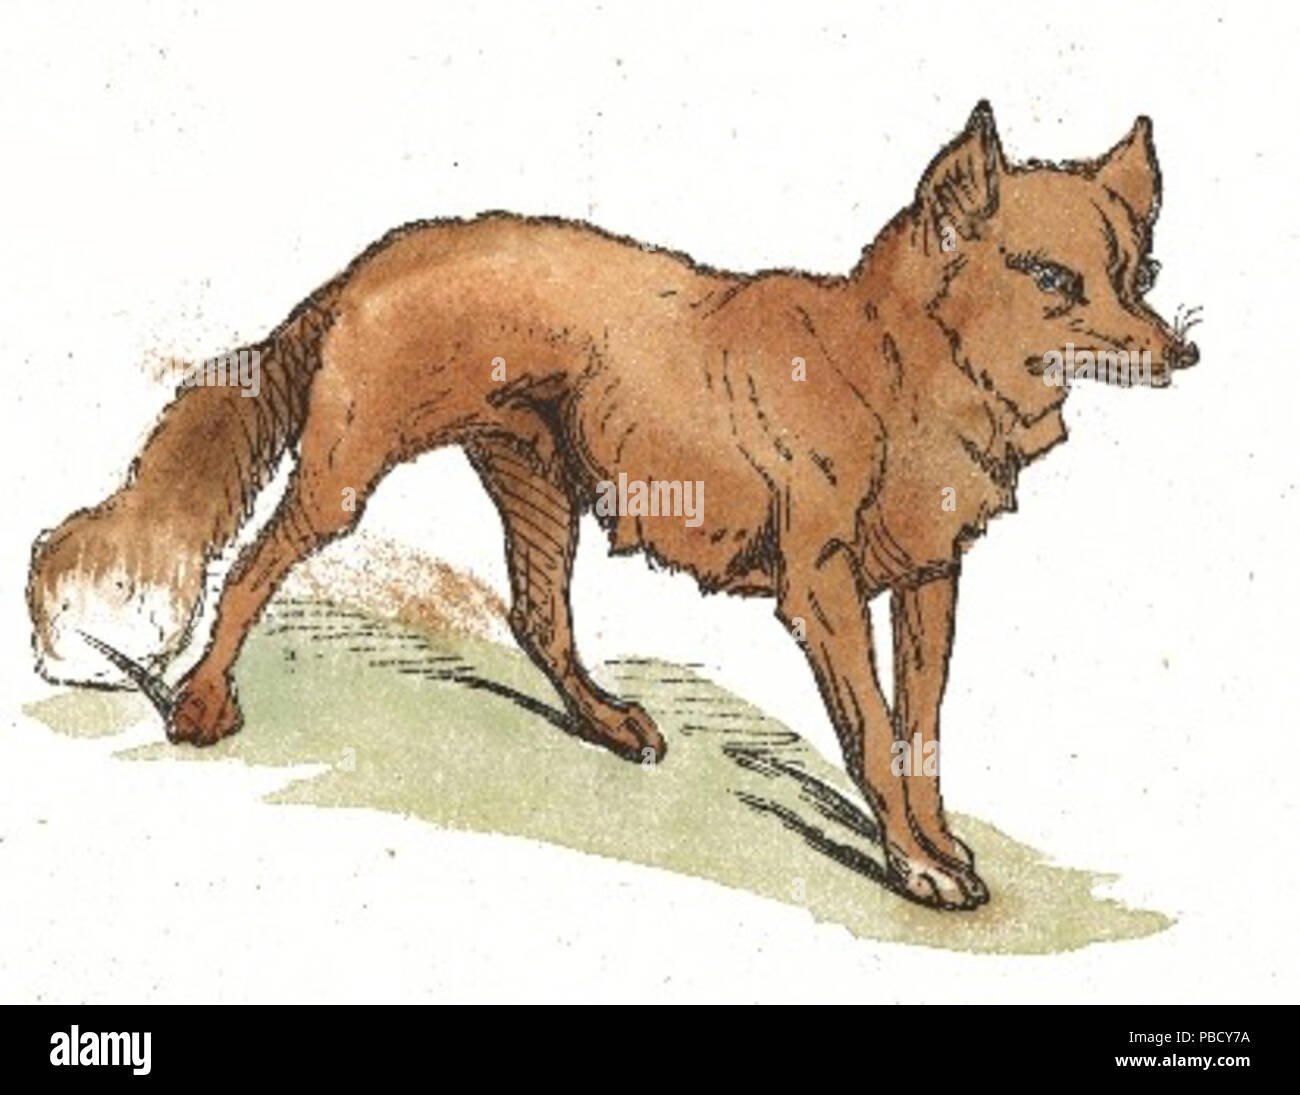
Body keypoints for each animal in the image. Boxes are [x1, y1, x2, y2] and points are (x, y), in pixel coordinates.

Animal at [27, 102, 1197, 909]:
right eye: (1053, 279)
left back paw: (604, 722)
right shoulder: (822, 593)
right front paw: (912, 865)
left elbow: (921, 734)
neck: (891, 370)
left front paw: (938, 844)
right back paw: (199, 704)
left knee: (535, 617)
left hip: (540, 491)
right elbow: (870, 733)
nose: (1180, 354)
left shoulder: (929, 581)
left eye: (1136, 274)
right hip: (342, 479)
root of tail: (369, 264)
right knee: (253, 566)